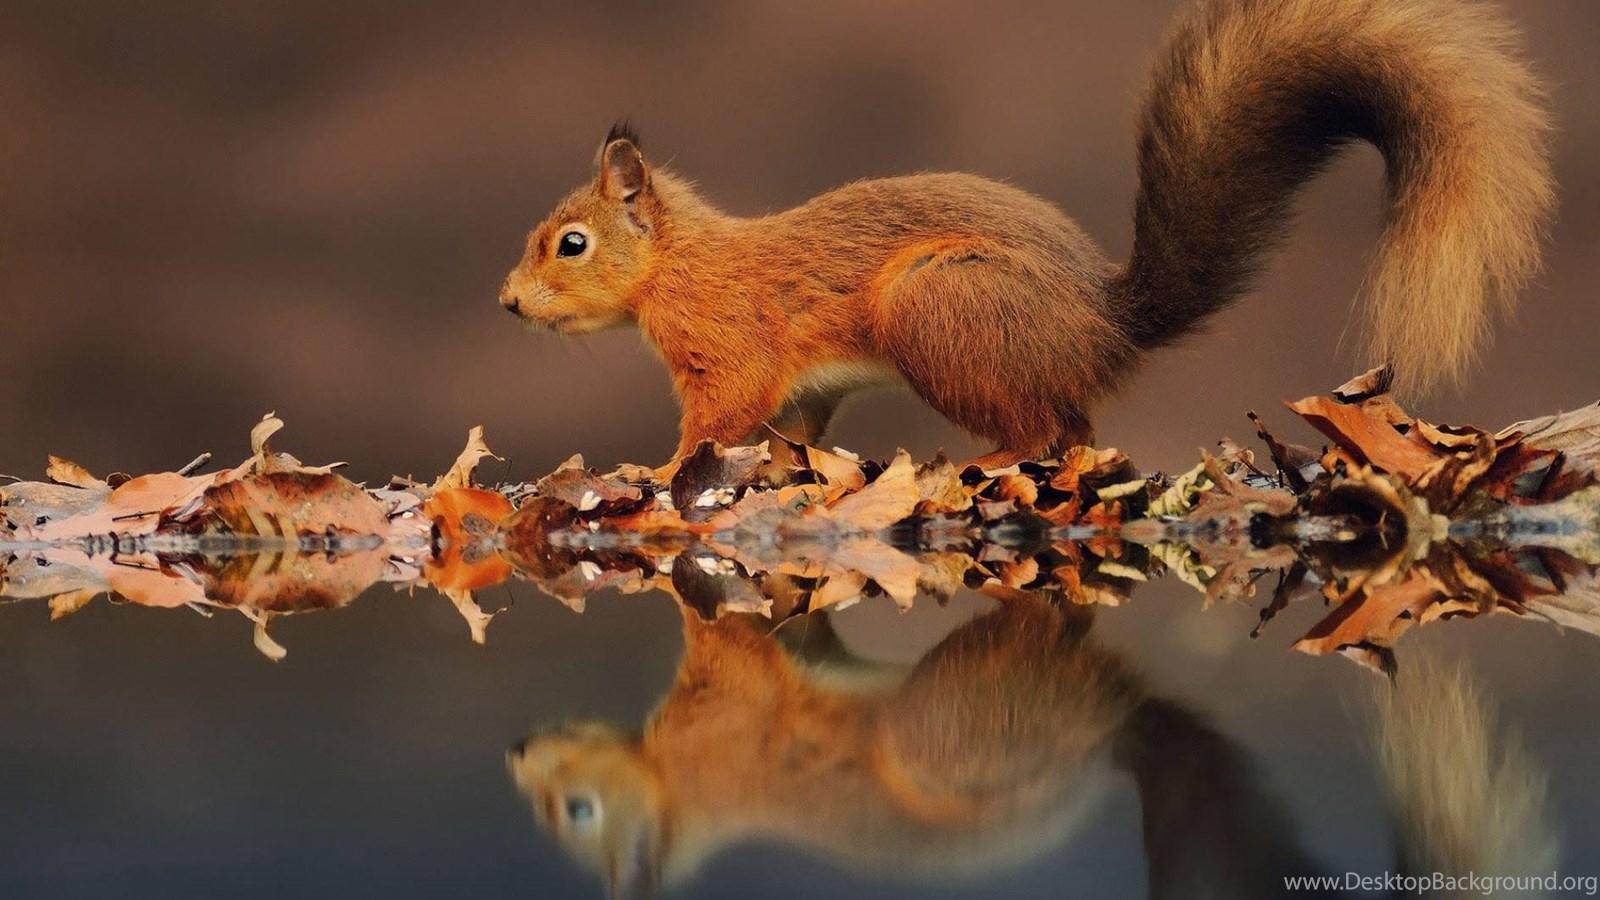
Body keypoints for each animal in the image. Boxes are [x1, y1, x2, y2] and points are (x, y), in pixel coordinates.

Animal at [500, 0, 1552, 471]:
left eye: (570, 244)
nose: (508, 303)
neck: (678, 264)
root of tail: (1104, 324)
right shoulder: (804, 388)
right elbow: (793, 426)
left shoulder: (728, 343)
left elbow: (721, 414)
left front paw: (660, 471)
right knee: (1074, 428)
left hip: (940, 308)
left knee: (1043, 429)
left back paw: (989, 465)